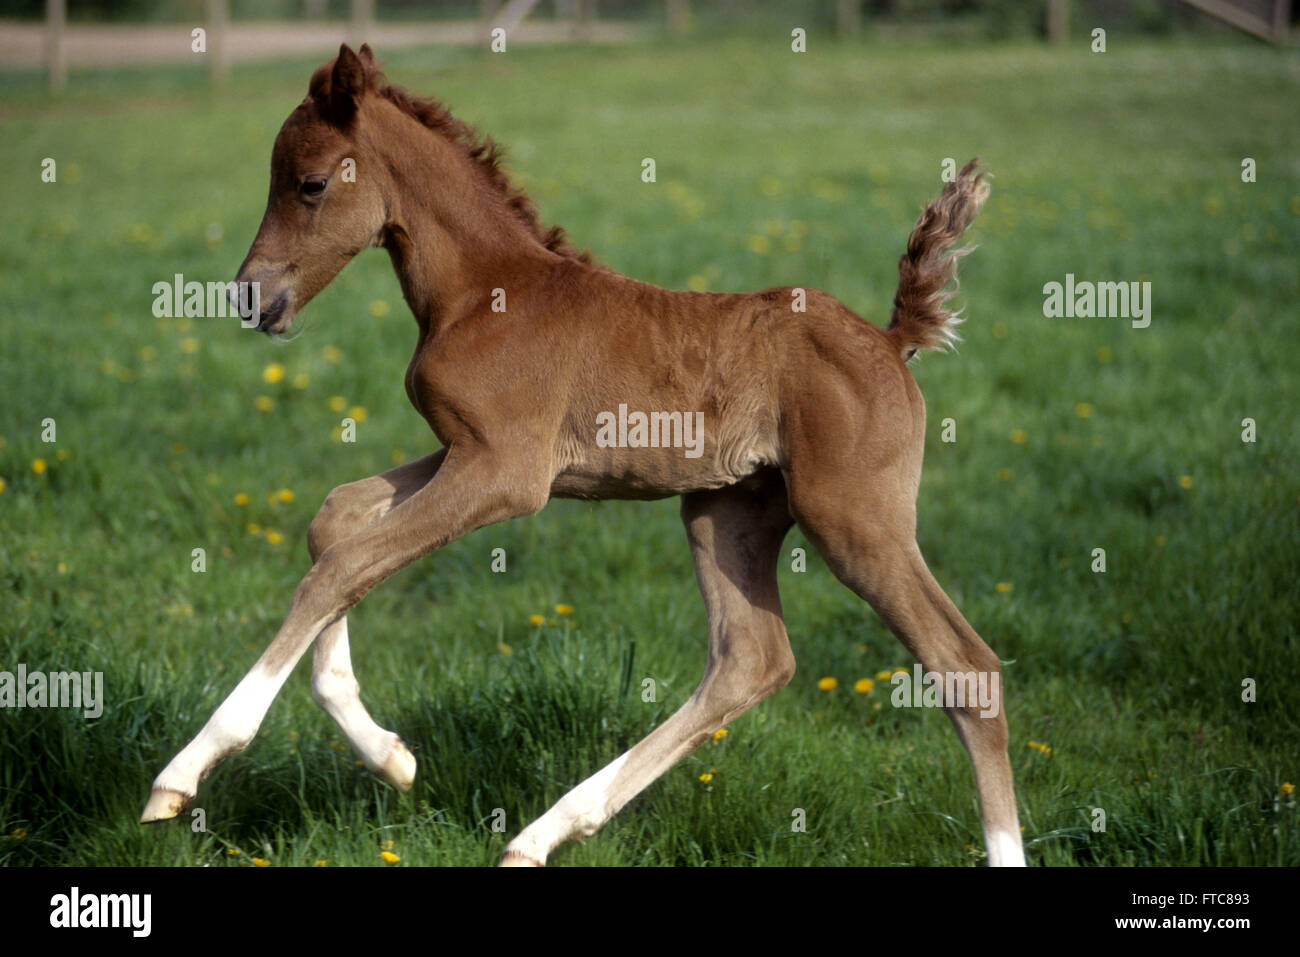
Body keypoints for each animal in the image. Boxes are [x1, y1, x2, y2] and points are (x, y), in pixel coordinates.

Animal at [141, 43, 1026, 867]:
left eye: (312, 184)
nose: (249, 296)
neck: (484, 290)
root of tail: (890, 338)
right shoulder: (472, 452)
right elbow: (338, 519)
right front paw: (390, 757)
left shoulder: (507, 473)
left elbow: (340, 566)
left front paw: (185, 772)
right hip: (726, 510)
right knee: (751, 659)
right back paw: (544, 832)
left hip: (855, 519)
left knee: (966, 665)